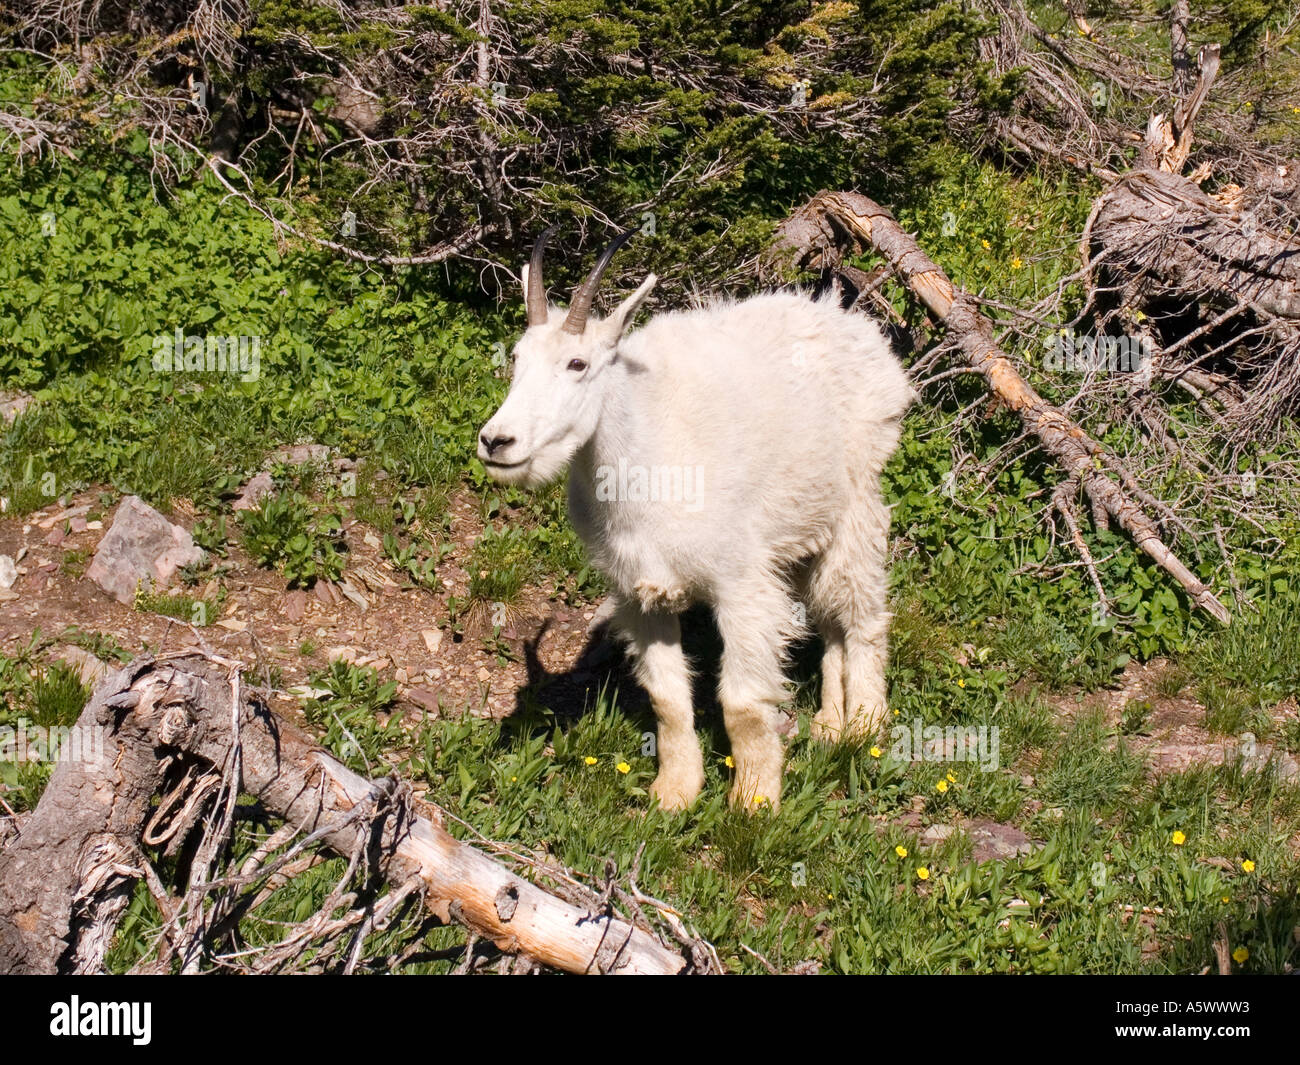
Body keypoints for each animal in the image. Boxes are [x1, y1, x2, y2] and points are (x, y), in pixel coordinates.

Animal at [478, 229, 914, 811]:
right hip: (803, 531)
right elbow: (667, 697)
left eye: (577, 364)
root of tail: (857, 329)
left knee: (862, 614)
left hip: (857, 502)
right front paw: (674, 793)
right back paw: (829, 723)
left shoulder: (741, 584)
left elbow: (743, 702)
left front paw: (753, 803)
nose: (497, 441)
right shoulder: (641, 590)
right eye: (517, 357)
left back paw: (864, 727)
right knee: (829, 617)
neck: (644, 458)